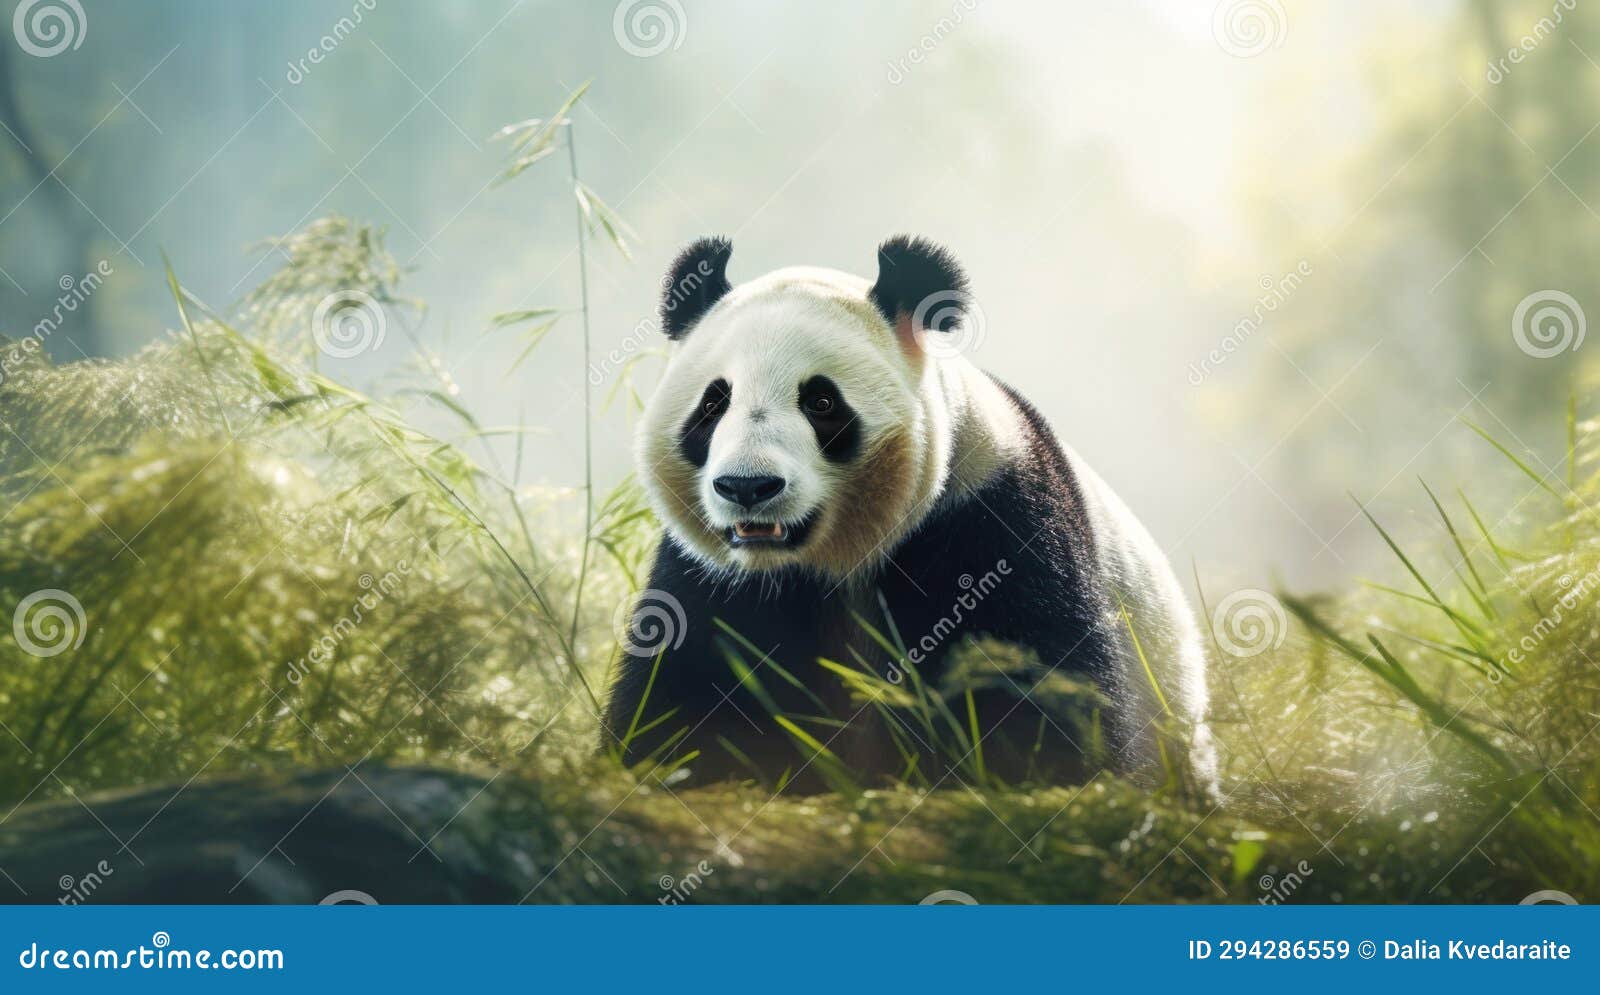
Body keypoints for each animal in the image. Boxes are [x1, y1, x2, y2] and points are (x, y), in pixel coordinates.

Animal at [604, 235, 1217, 794]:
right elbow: (683, 696)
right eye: (713, 404)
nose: (747, 486)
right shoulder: (713, 579)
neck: (835, 558)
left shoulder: (990, 517)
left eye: (821, 402)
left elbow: (1038, 690)